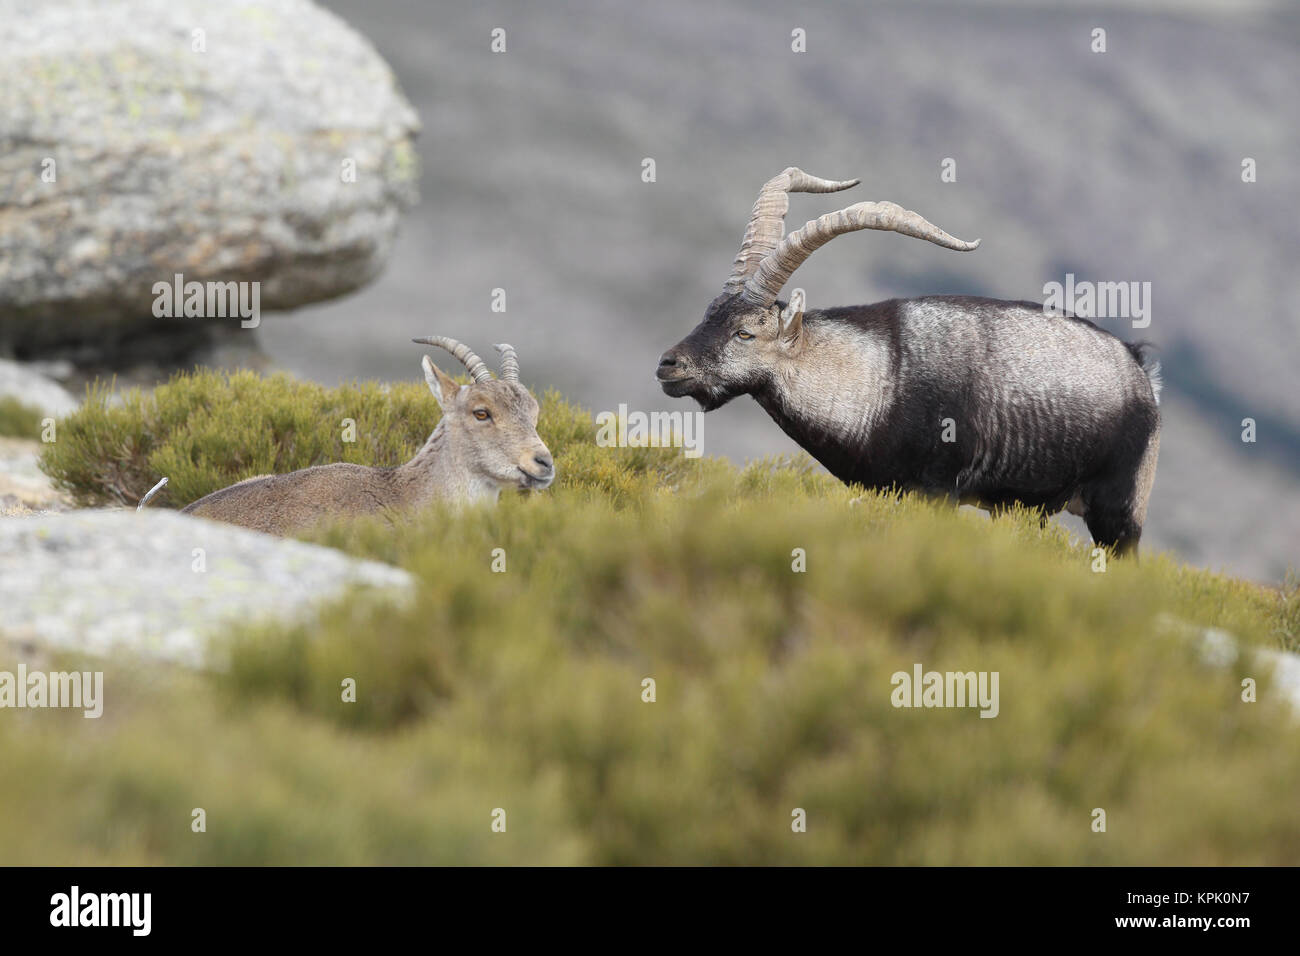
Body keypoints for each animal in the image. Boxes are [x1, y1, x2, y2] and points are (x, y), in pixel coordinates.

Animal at [656, 168, 1161, 555]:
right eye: (709, 313)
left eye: (745, 332)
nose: (669, 365)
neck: (879, 378)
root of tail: (1138, 369)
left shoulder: (937, 492)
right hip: (1023, 507)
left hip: (1121, 508)